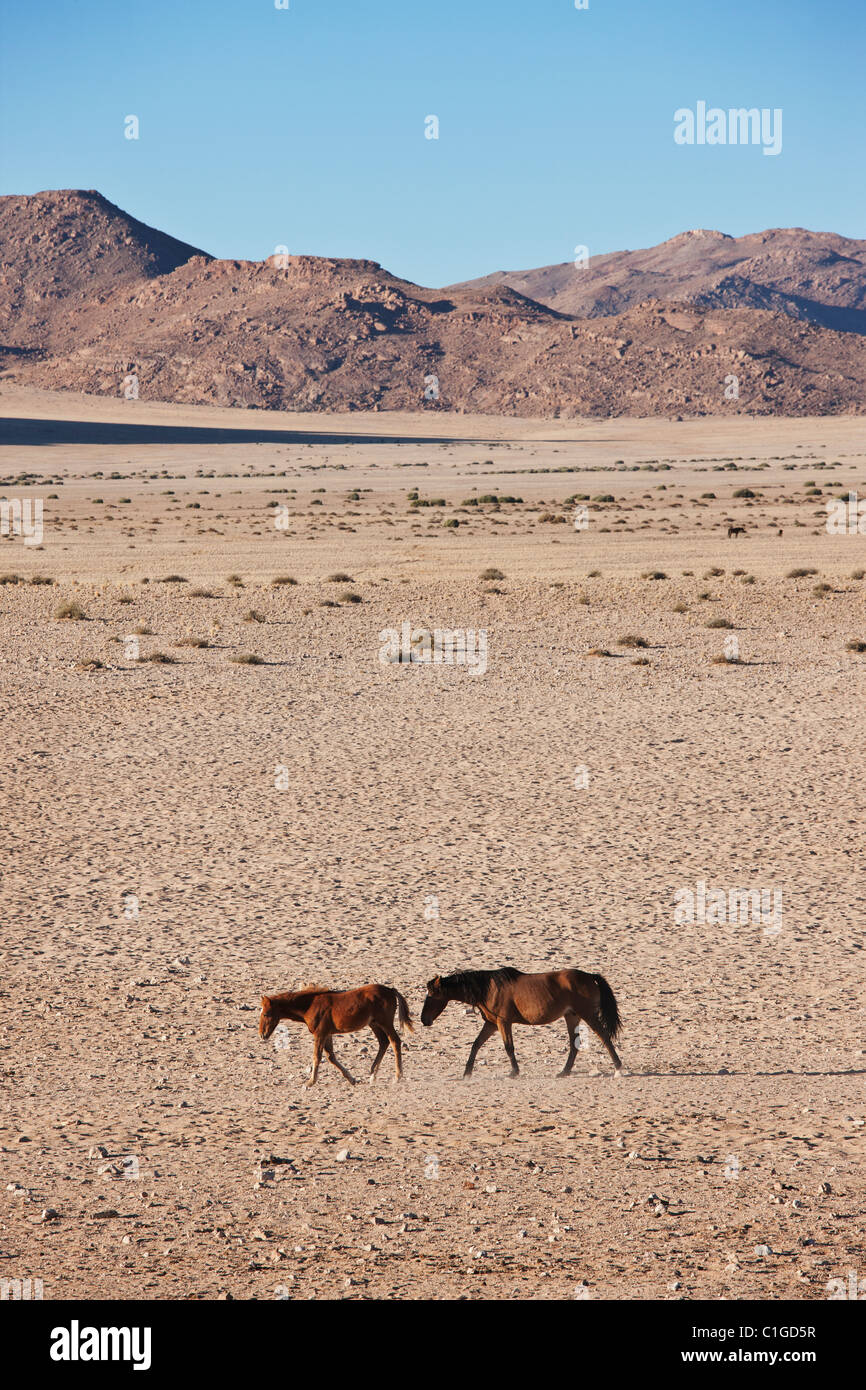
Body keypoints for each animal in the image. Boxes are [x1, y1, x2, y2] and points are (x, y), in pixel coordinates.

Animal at [259, 984, 413, 1087]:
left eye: (266, 1014)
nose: (262, 1035)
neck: (310, 1005)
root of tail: (390, 990)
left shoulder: (320, 1034)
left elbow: (317, 1057)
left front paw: (310, 1082)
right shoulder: (327, 1034)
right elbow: (331, 1057)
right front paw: (351, 1079)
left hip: (385, 1022)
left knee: (395, 1041)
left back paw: (397, 1076)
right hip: (374, 1024)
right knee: (383, 1042)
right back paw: (373, 1075)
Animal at [421, 966, 622, 1078]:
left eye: (431, 995)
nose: (424, 1020)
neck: (488, 989)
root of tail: (590, 976)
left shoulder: (503, 1022)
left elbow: (508, 1047)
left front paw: (514, 1072)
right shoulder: (491, 1024)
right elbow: (476, 1044)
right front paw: (467, 1073)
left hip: (588, 1015)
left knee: (604, 1037)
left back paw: (618, 1067)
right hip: (571, 1016)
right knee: (574, 1045)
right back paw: (564, 1072)